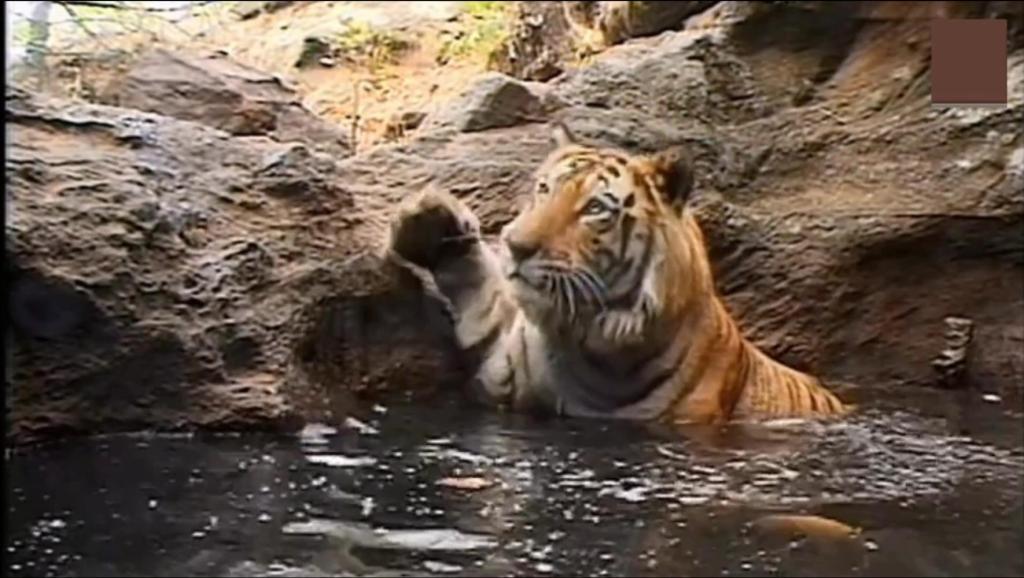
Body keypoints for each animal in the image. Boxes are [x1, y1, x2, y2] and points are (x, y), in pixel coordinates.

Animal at [386, 123, 850, 425]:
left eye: (594, 209)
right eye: (543, 189)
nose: (515, 244)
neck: (579, 342)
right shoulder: (502, 372)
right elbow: (480, 290)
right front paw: (429, 220)